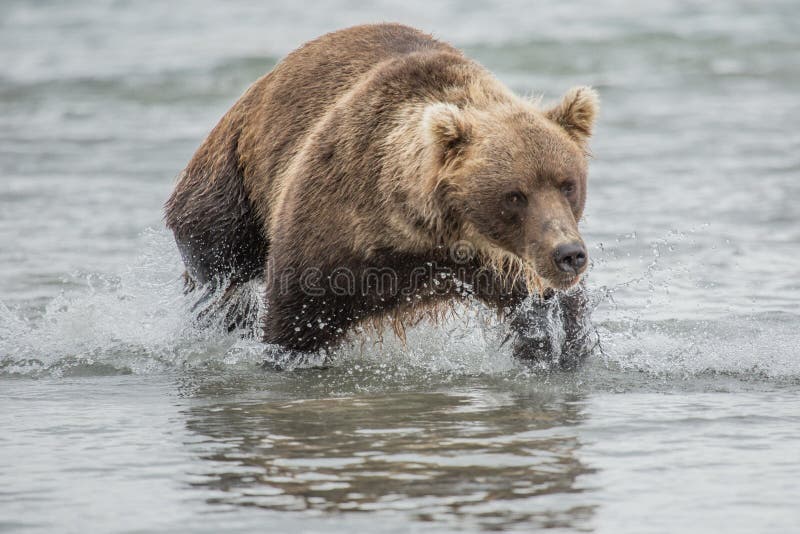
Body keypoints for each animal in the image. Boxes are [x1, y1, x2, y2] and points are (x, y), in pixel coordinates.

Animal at [165, 23, 598, 367]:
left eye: (568, 184)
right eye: (515, 195)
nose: (568, 254)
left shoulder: (504, 266)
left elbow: (554, 319)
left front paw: (556, 352)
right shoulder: (334, 225)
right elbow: (295, 319)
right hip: (228, 182)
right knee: (218, 269)